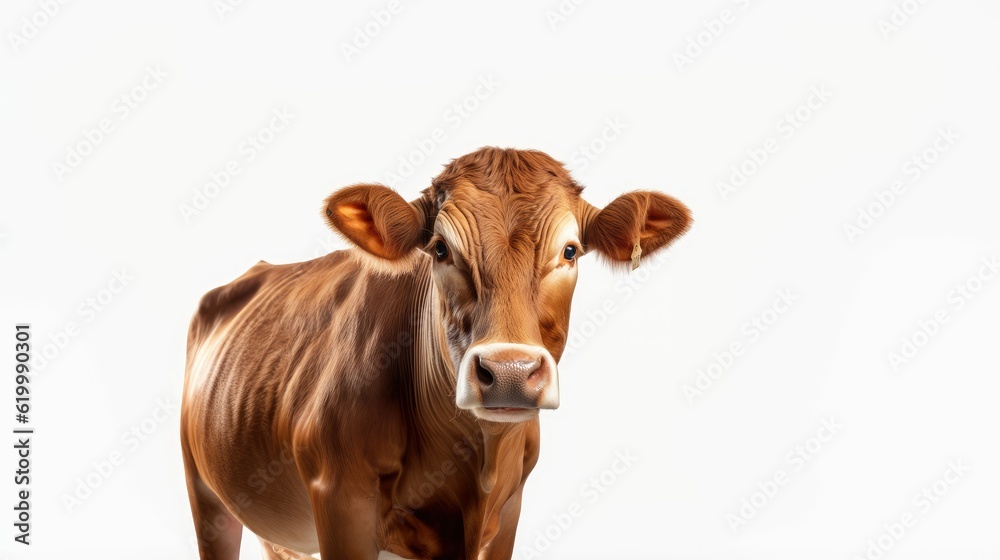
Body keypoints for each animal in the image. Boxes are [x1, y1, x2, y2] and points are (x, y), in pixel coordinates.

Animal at [181, 147, 691, 560]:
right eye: (441, 249)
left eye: (570, 251)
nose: (509, 372)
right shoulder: (339, 499)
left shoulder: (507, 512)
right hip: (204, 492)